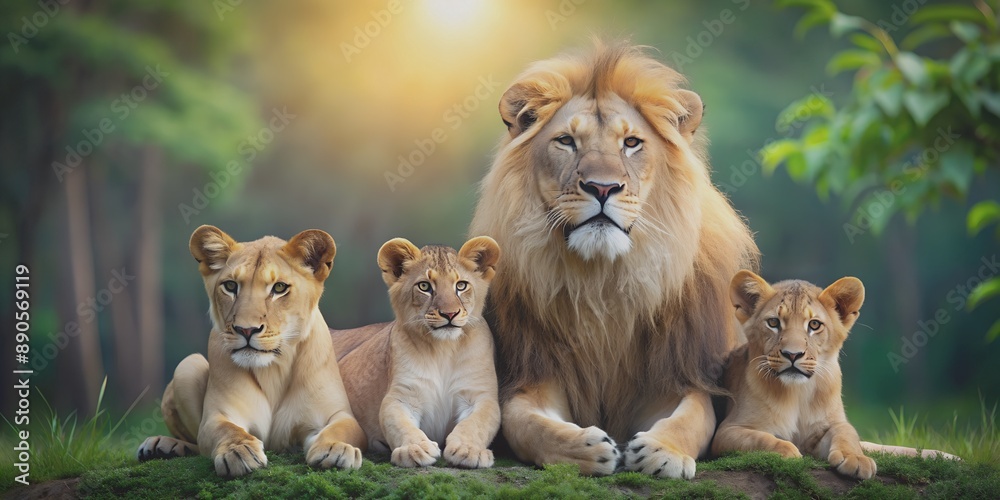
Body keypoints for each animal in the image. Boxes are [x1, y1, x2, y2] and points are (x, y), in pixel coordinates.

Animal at [137, 225, 367, 477]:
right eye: (230, 286)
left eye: (279, 288)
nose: (246, 329)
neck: (274, 369)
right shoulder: (219, 414)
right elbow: (226, 430)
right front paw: (239, 451)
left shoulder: (338, 414)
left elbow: (342, 429)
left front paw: (335, 449)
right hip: (188, 364)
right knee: (195, 441)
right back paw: (161, 445)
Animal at [332, 237, 501, 469]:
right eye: (424, 286)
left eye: (461, 285)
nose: (450, 314)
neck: (444, 349)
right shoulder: (402, 395)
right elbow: (400, 425)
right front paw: (415, 448)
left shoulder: (480, 395)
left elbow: (476, 424)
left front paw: (469, 450)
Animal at [467, 40, 759, 478]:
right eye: (566, 141)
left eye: (632, 143)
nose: (602, 187)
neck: (602, 283)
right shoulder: (535, 374)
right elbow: (524, 422)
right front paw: (583, 449)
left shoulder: (678, 376)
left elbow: (693, 417)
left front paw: (663, 451)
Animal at [712, 271, 877, 479]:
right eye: (773, 322)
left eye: (814, 324)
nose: (792, 354)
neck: (797, 392)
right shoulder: (727, 430)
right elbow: (761, 438)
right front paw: (788, 451)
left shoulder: (825, 427)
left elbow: (846, 431)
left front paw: (856, 458)